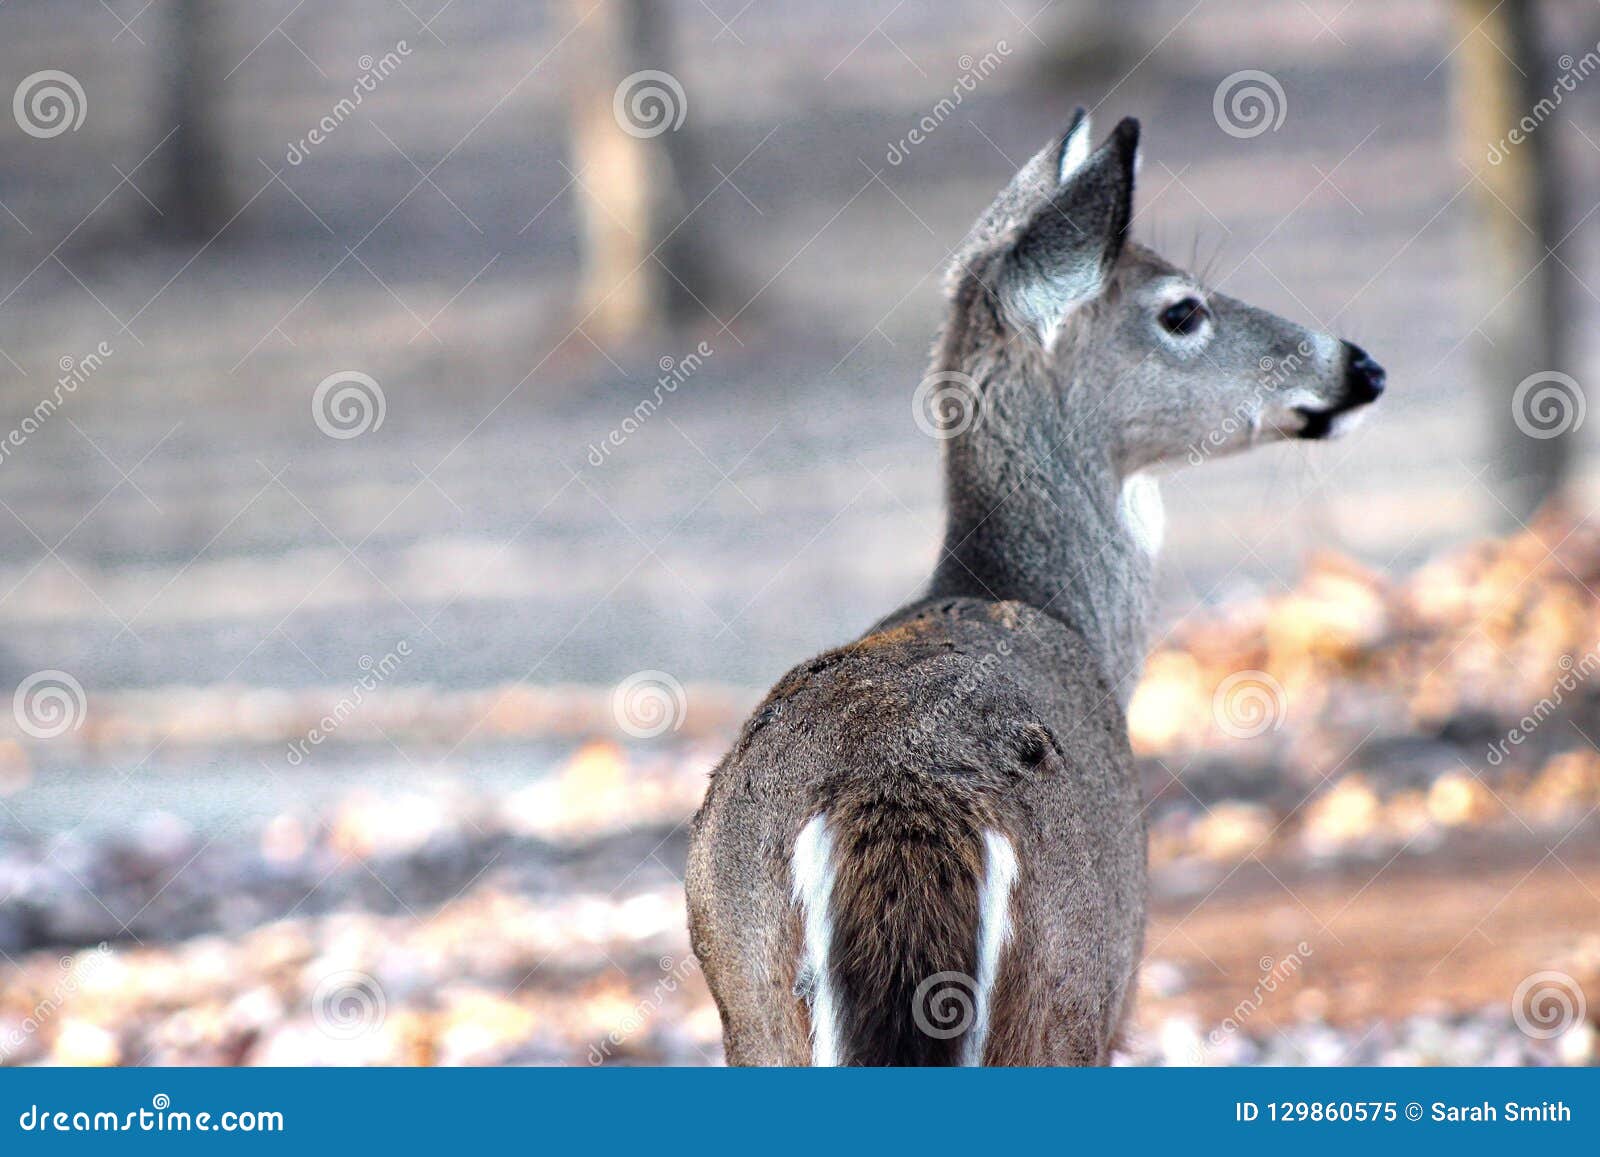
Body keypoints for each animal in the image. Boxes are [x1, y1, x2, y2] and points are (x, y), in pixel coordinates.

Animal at [686, 111, 1385, 1066]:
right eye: (1182, 309)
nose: (1361, 365)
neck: (1047, 603)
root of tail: (896, 795)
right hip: (1064, 992)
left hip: (754, 1007)